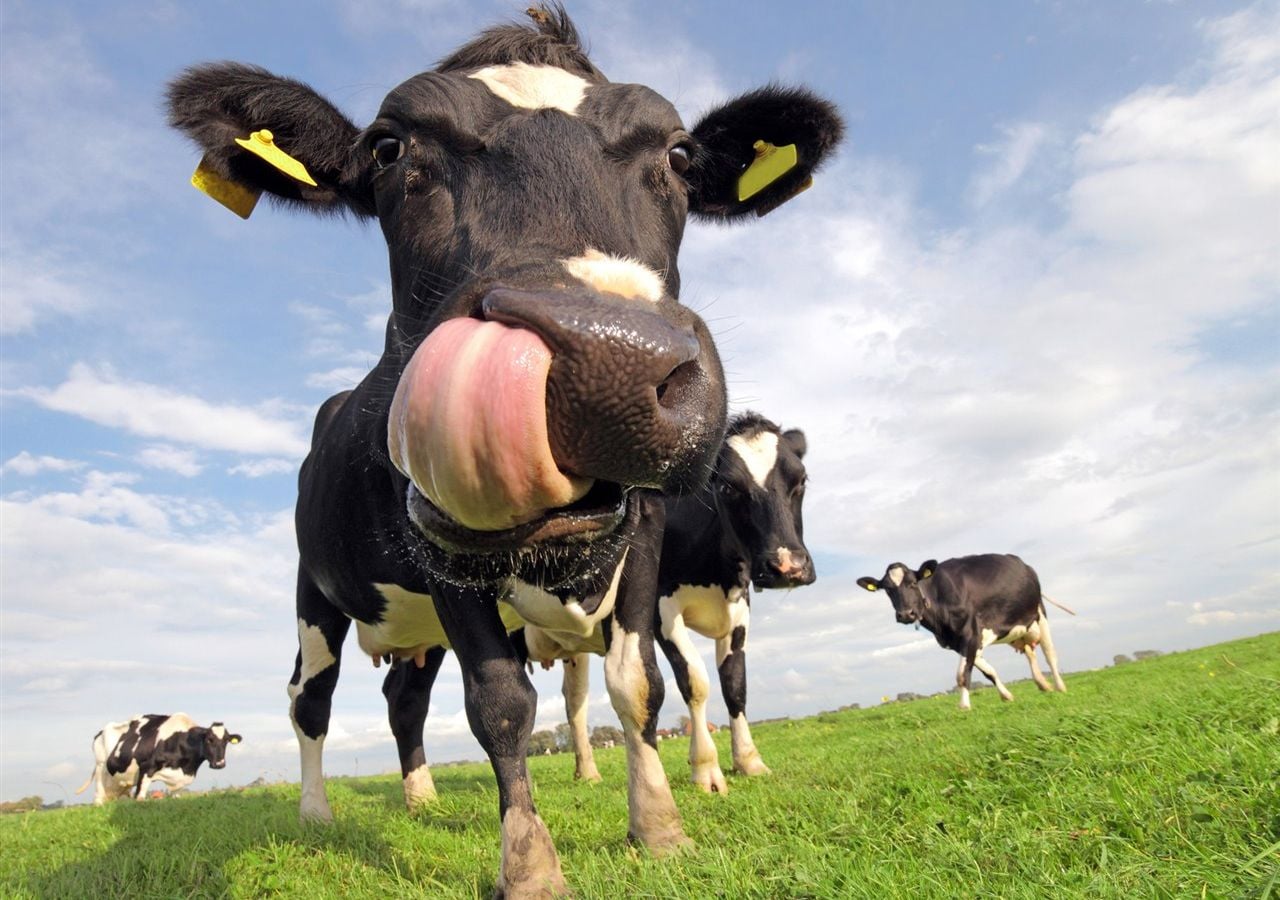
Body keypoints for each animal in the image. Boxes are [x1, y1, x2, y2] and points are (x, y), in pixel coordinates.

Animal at [74, 713, 242, 805]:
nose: (219, 763)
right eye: (209, 740)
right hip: (100, 767)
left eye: (226, 741)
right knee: (98, 795)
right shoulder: (146, 767)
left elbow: (176, 796)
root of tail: (100, 733)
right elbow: (140, 797)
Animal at [522, 412, 814, 794]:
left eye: (802, 481)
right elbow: (695, 681)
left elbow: (735, 686)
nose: (788, 566)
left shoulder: (738, 611)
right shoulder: (662, 611)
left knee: (575, 703)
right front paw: (706, 769)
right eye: (727, 487)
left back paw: (586, 772)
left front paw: (749, 760)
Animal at [858, 555, 1072, 710]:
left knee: (1050, 654)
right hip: (1018, 629)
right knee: (1029, 652)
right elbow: (989, 671)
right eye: (887, 590)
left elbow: (962, 675)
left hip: (1039, 614)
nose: (905, 614)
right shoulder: (959, 642)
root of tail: (1025, 565)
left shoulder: (970, 634)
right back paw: (1043, 684)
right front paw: (1006, 695)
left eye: (913, 583)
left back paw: (1059, 686)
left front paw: (964, 705)